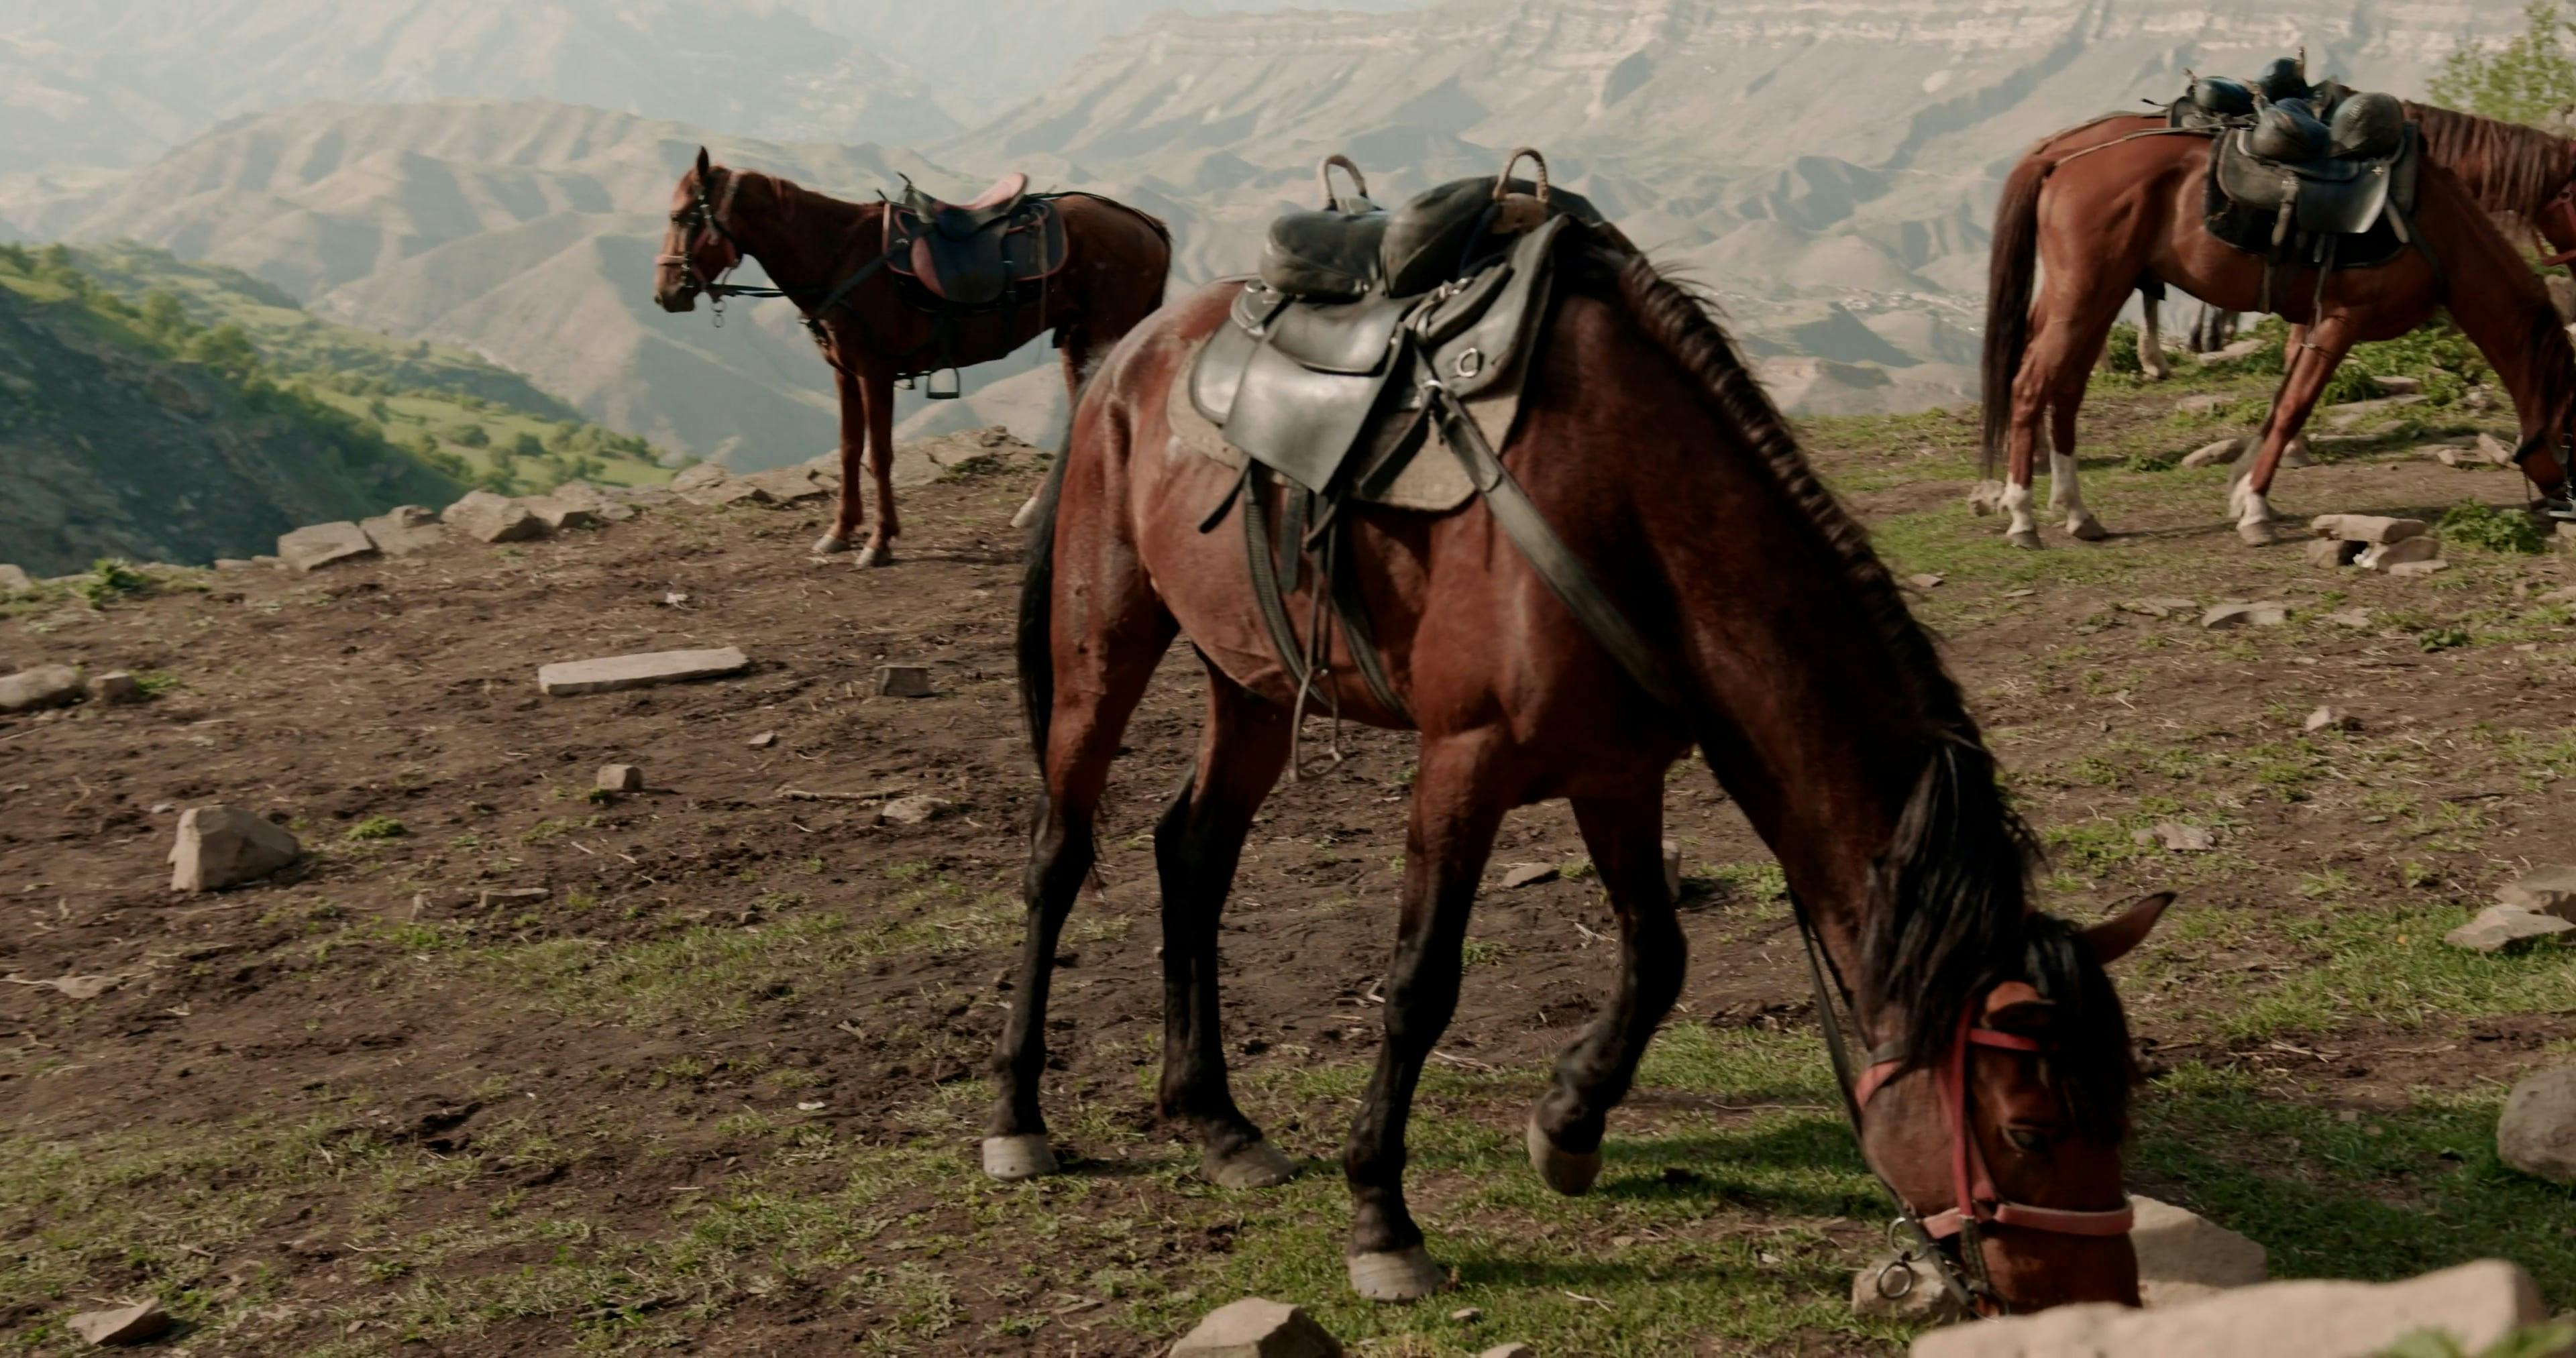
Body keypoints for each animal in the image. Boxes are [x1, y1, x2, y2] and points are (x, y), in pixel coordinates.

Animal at [652, 149, 1171, 564]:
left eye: (680, 217)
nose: (666, 293)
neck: (837, 255)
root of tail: (1146, 223)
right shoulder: (844, 374)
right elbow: (849, 449)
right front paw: (840, 531)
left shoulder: (875, 372)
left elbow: (879, 454)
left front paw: (878, 541)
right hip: (1078, 338)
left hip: (1105, 334)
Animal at [991, 221, 2173, 1312]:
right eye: (2029, 1127)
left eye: (2122, 1111)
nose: (2100, 1299)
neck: (1630, 509)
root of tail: (1128, 357)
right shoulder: (1463, 763)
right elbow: (1420, 984)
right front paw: (1382, 1219)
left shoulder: (1619, 775)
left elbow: (1659, 956)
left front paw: (1567, 1126)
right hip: (1103, 645)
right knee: (1058, 854)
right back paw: (1019, 1118)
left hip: (1250, 679)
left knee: (1191, 852)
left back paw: (1215, 1121)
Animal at [1982, 123, 2576, 548]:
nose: (2567, 503)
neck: (2434, 230)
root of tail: (2060, 156)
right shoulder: (2341, 318)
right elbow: (2295, 406)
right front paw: (2255, 511)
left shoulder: (2310, 320)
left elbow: (2279, 405)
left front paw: (2248, 494)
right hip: (2081, 297)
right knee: (2030, 386)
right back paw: (2023, 517)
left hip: (2100, 295)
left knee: (2066, 388)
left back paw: (2079, 513)